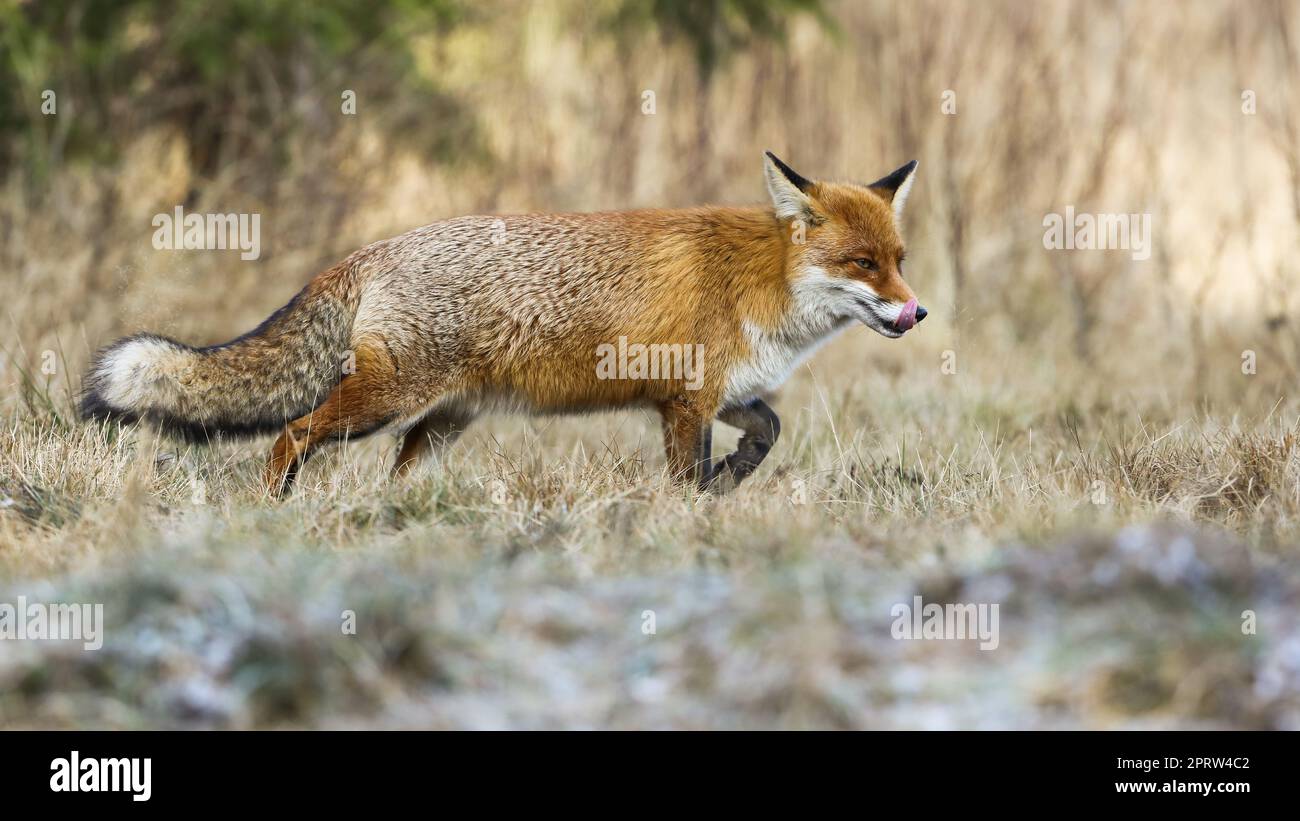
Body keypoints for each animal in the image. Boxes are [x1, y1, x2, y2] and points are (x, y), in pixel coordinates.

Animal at [80, 152, 926, 497]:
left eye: (899, 258)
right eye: (861, 264)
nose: (917, 312)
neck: (757, 282)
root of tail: (370, 251)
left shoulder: (721, 392)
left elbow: (770, 429)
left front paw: (734, 478)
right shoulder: (684, 400)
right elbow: (688, 476)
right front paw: (697, 511)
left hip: (444, 423)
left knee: (393, 476)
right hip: (382, 404)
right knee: (291, 433)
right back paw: (272, 508)